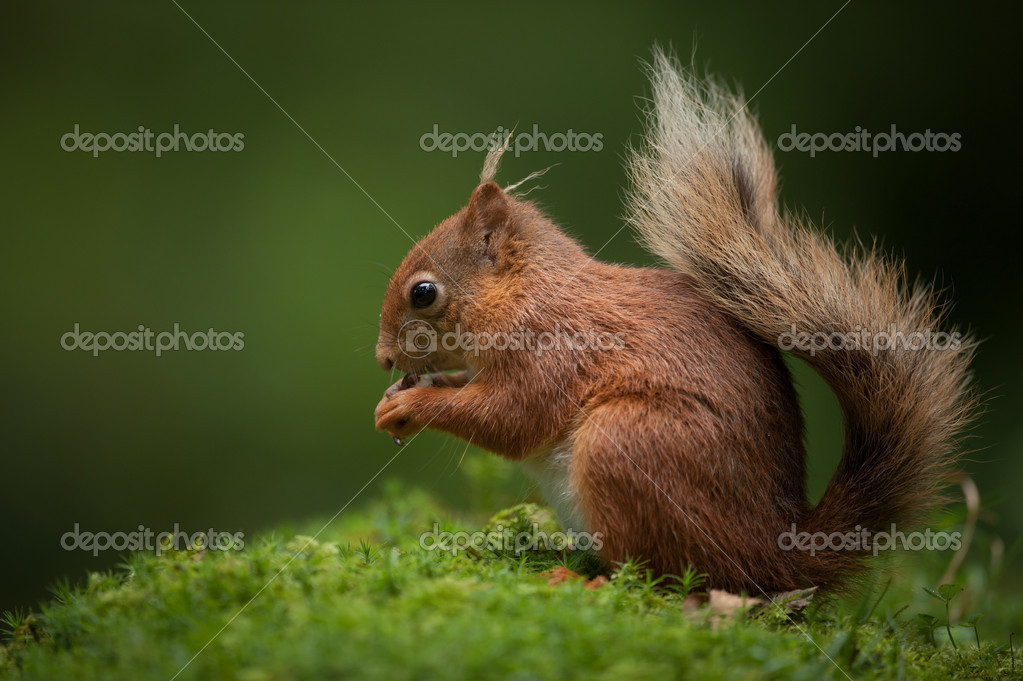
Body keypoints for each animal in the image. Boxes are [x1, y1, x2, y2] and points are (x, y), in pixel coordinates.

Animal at [373, 48, 977, 593]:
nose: (383, 359)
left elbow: (510, 417)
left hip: (627, 445)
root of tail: (774, 551)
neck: (525, 294)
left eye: (424, 293)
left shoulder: (553, 348)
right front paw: (401, 397)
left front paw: (413, 405)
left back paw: (583, 578)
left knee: (652, 574)